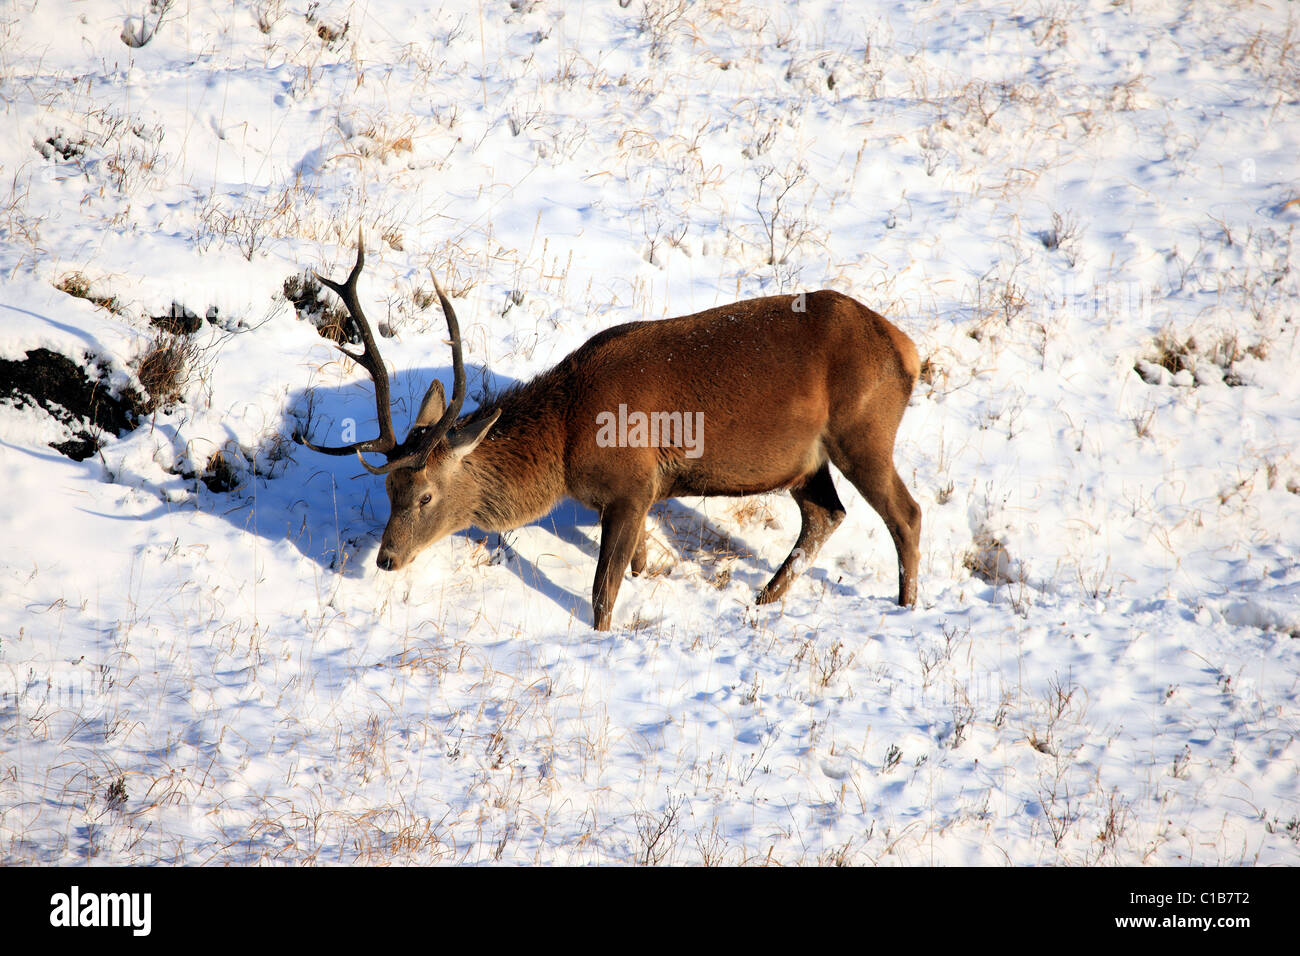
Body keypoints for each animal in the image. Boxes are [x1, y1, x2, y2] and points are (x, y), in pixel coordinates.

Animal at [296, 235, 921, 630]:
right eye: (388, 489)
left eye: (425, 495)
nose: (386, 559)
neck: (568, 446)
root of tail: (909, 349)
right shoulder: (634, 496)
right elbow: (637, 564)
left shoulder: (631, 483)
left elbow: (603, 591)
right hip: (804, 460)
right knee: (825, 514)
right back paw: (763, 600)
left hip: (863, 429)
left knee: (905, 513)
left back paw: (906, 603)